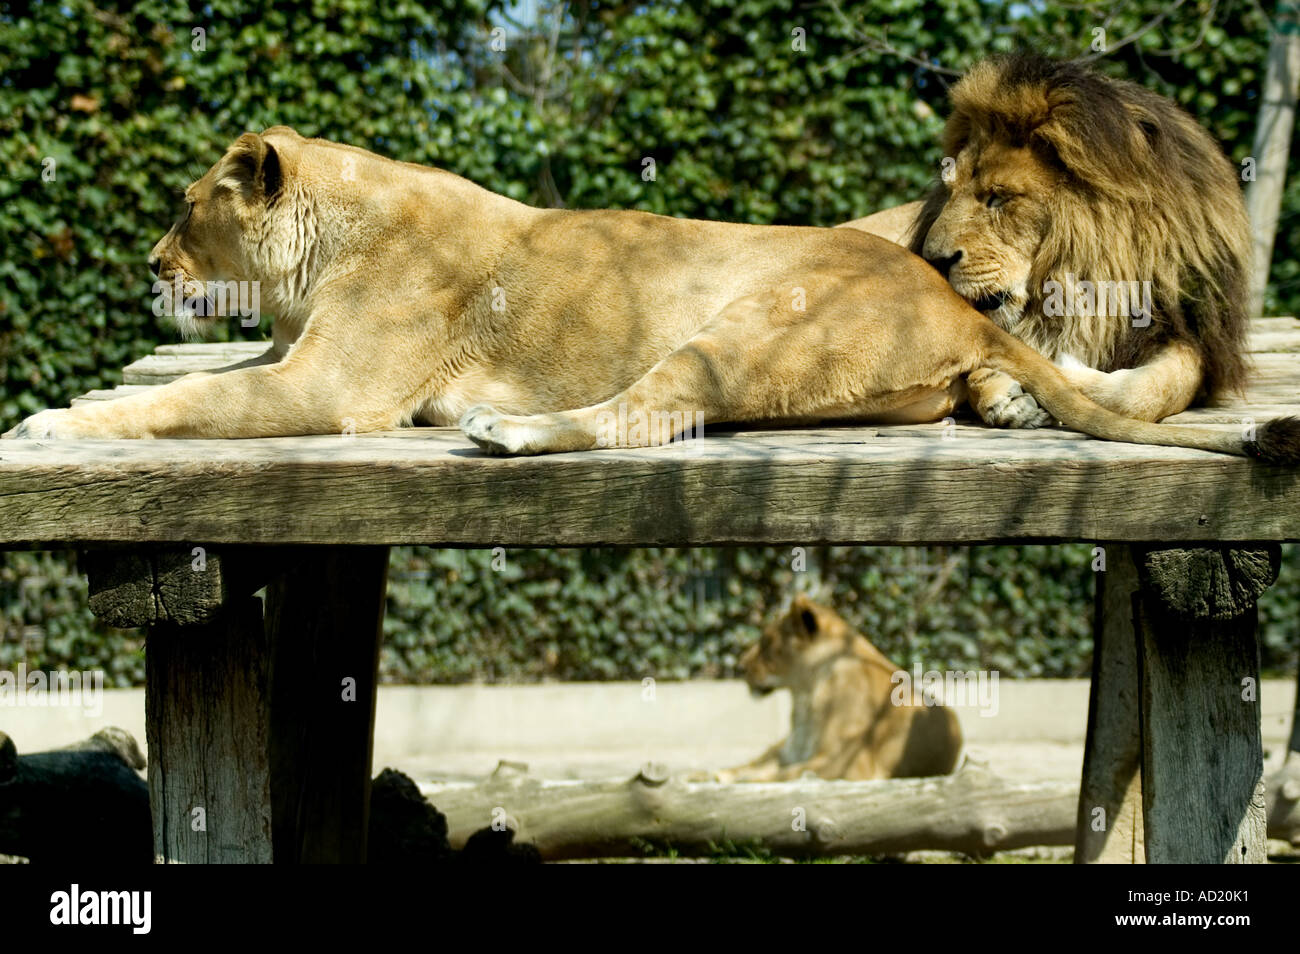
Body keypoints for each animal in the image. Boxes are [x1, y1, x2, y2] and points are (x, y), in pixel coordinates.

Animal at [5, 125, 1297, 464]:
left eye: (186, 208)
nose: (151, 265)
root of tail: (943, 291)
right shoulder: (293, 361)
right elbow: (211, 377)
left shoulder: (330, 390)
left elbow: (186, 400)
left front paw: (56, 422)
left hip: (744, 328)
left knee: (649, 412)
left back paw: (510, 432)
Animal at [713, 595, 962, 782]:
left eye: (766, 643)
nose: (740, 666)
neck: (806, 694)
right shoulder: (792, 753)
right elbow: (768, 768)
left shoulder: (850, 762)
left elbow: (786, 773)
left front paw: (748, 779)